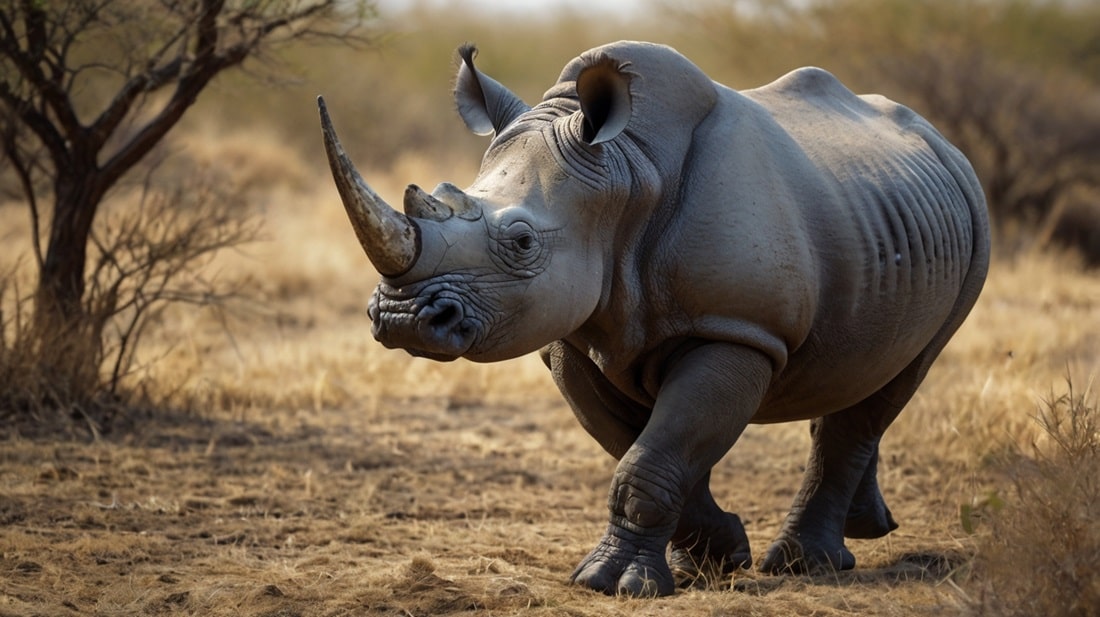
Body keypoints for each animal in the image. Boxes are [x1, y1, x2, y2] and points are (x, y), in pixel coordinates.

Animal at [318, 41, 990, 597]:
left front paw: (610, 584)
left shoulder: (736, 329)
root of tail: (941, 143)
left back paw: (806, 566)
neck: (624, 171)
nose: (403, 318)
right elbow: (647, 449)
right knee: (864, 366)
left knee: (903, 374)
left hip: (973, 226)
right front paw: (718, 558)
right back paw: (849, 533)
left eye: (523, 242)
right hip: (884, 213)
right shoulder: (573, 339)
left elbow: (652, 455)